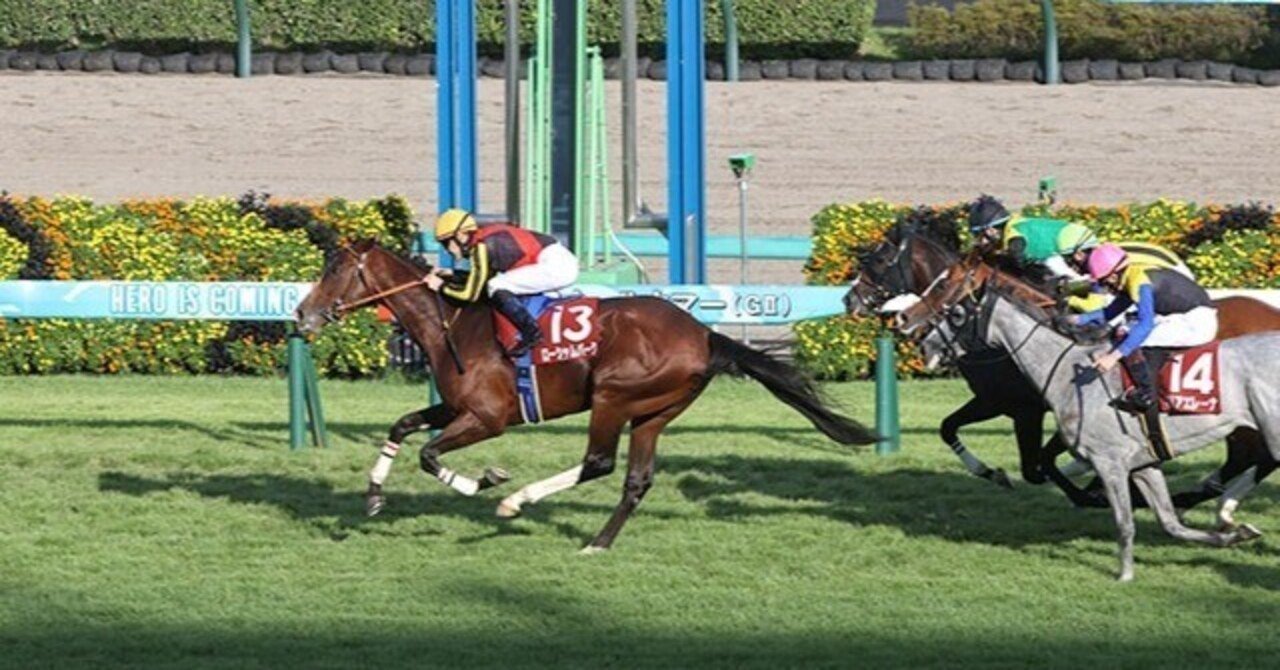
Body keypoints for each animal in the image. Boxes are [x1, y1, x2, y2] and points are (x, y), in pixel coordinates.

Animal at [294, 240, 876, 552]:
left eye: (335, 271)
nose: (301, 315)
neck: (454, 322)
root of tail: (706, 335)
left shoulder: (487, 417)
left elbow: (430, 454)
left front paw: (483, 480)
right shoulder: (456, 407)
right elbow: (401, 427)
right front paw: (373, 496)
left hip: (614, 395)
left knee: (599, 461)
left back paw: (515, 501)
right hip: (653, 413)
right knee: (636, 479)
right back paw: (598, 541)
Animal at [843, 221, 1280, 526]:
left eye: (878, 261)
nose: (850, 299)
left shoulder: (1025, 407)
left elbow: (1038, 464)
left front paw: (1089, 491)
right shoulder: (999, 400)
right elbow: (950, 428)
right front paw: (994, 472)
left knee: (1251, 458)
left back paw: (1209, 504)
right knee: (1253, 459)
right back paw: (1216, 505)